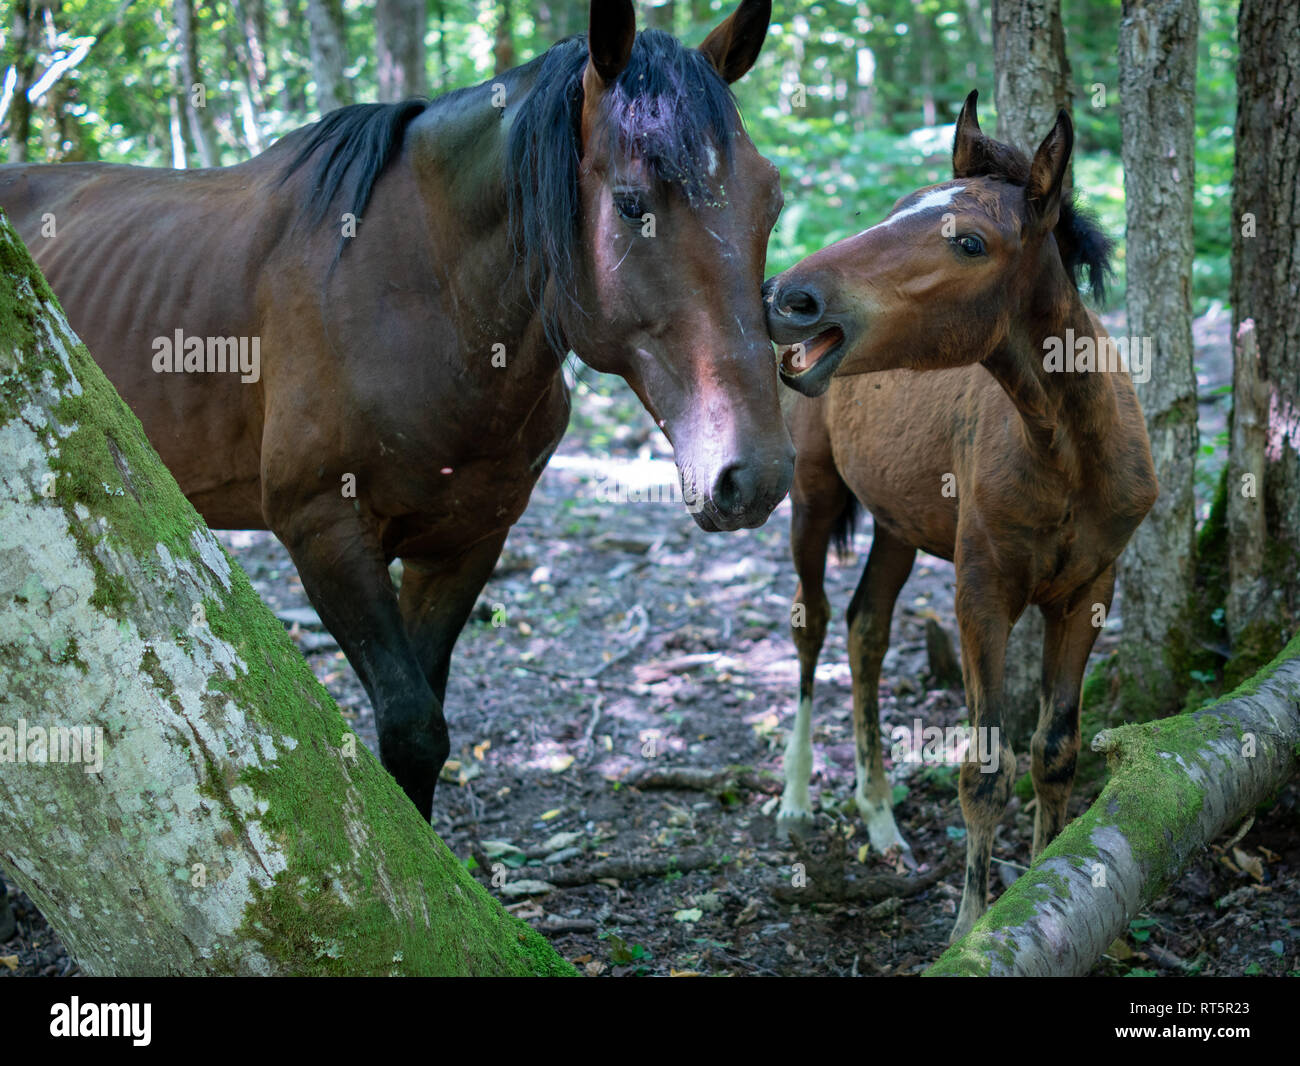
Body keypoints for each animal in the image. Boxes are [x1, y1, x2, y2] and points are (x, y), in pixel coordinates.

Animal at [0, 0, 795, 822]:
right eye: (634, 204)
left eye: (770, 201)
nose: (755, 475)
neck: (420, 301)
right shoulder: (324, 530)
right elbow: (411, 727)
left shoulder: (465, 541)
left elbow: (427, 726)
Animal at [762, 91, 1158, 942]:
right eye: (896, 210)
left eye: (970, 242)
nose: (787, 297)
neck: (1067, 450)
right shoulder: (982, 593)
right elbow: (982, 769)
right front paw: (974, 928)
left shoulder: (1089, 591)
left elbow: (1054, 752)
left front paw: (1046, 887)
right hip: (813, 496)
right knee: (812, 624)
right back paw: (798, 801)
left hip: (896, 525)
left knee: (866, 629)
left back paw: (880, 819)